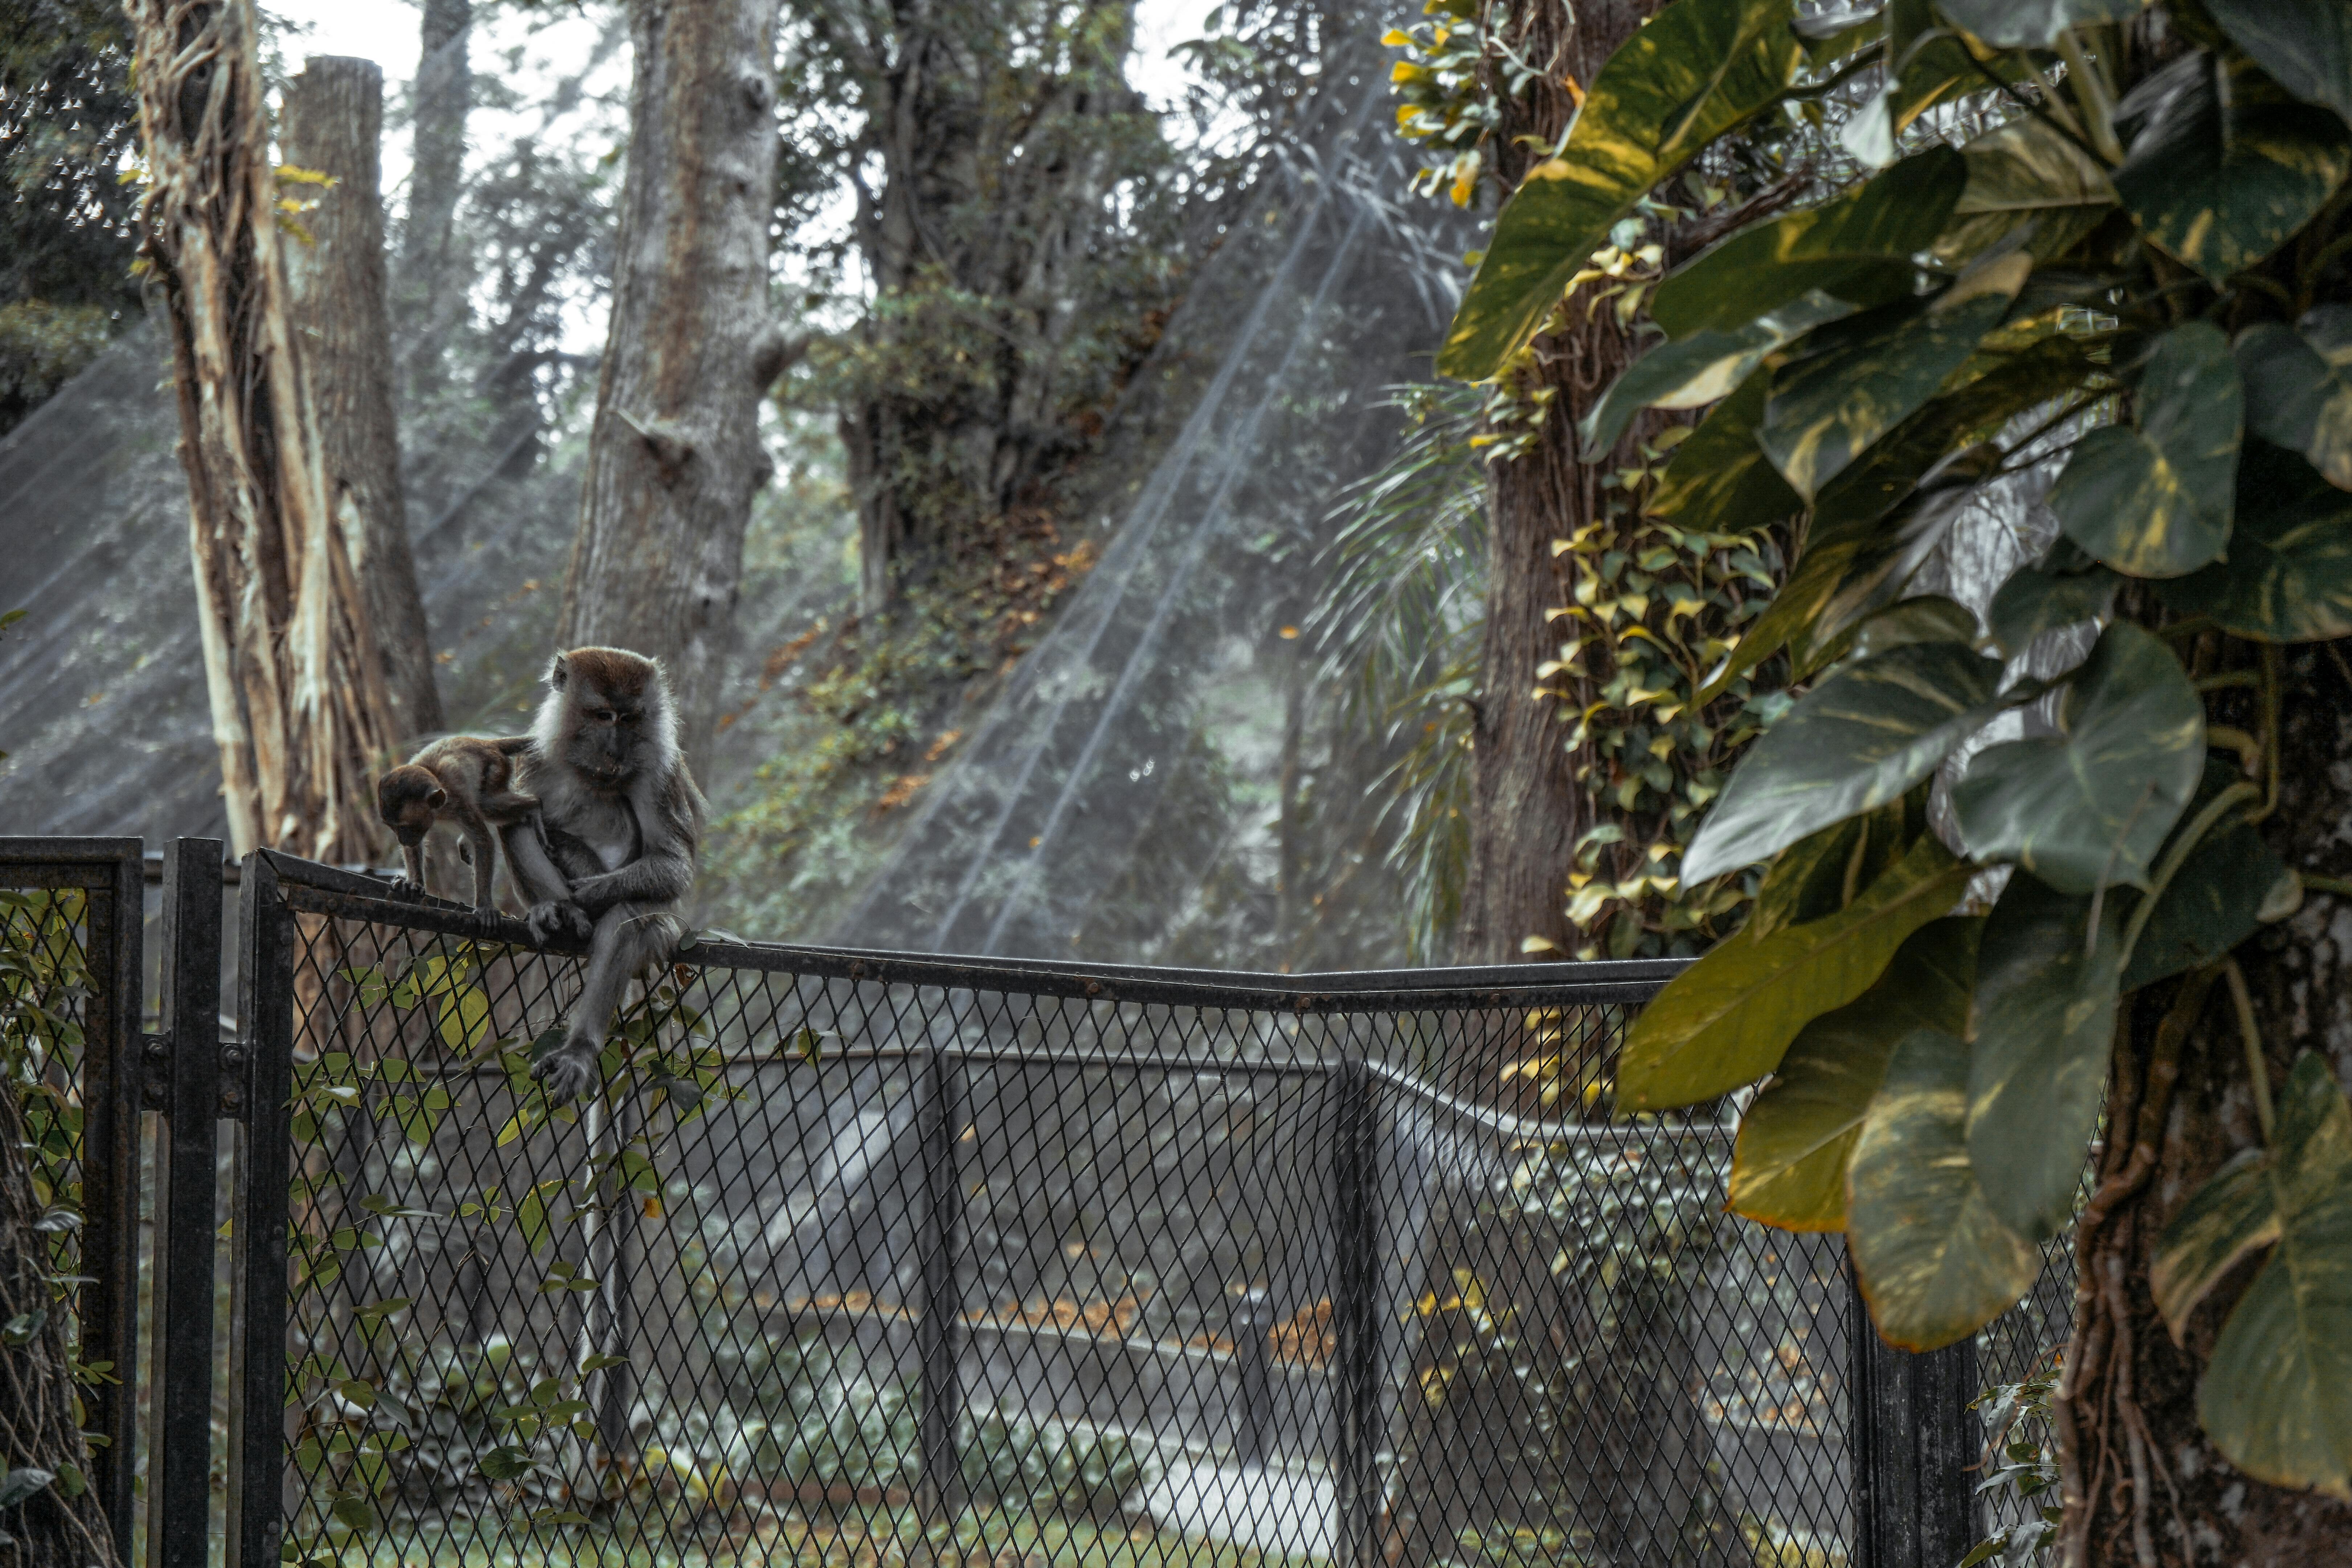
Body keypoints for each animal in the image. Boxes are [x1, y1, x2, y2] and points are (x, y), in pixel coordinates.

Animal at [375, 735, 540, 922]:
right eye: (393, 828)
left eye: (406, 828)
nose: (402, 839)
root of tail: (487, 743)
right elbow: (415, 847)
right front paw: (414, 884)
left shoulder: (458, 802)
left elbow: (483, 842)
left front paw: (485, 907)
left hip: (497, 767)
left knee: (485, 806)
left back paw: (534, 804)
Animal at [497, 647, 706, 1104]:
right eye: (602, 716)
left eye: (629, 719)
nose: (615, 754)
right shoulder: (533, 758)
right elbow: (515, 814)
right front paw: (560, 904)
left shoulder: (657, 771)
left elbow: (673, 864)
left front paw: (590, 895)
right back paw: (558, 909)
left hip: (665, 927)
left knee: (626, 919)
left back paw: (579, 1049)